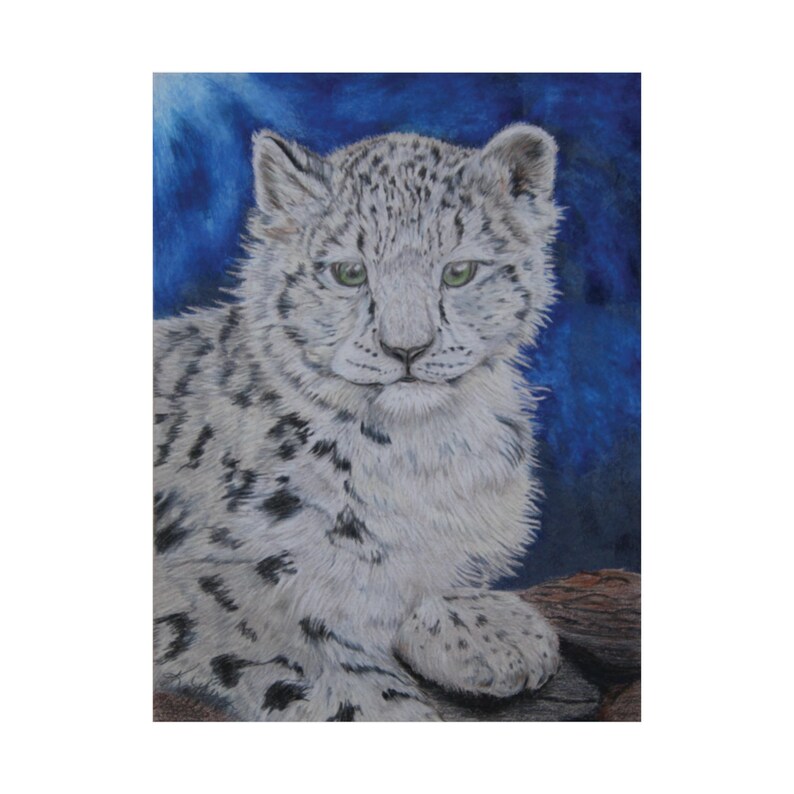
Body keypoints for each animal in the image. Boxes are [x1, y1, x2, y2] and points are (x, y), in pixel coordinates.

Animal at [154, 123, 563, 721]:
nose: (407, 348)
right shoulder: (205, 580)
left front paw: (492, 633)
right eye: (349, 272)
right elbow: (305, 652)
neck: (421, 455)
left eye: (459, 271)